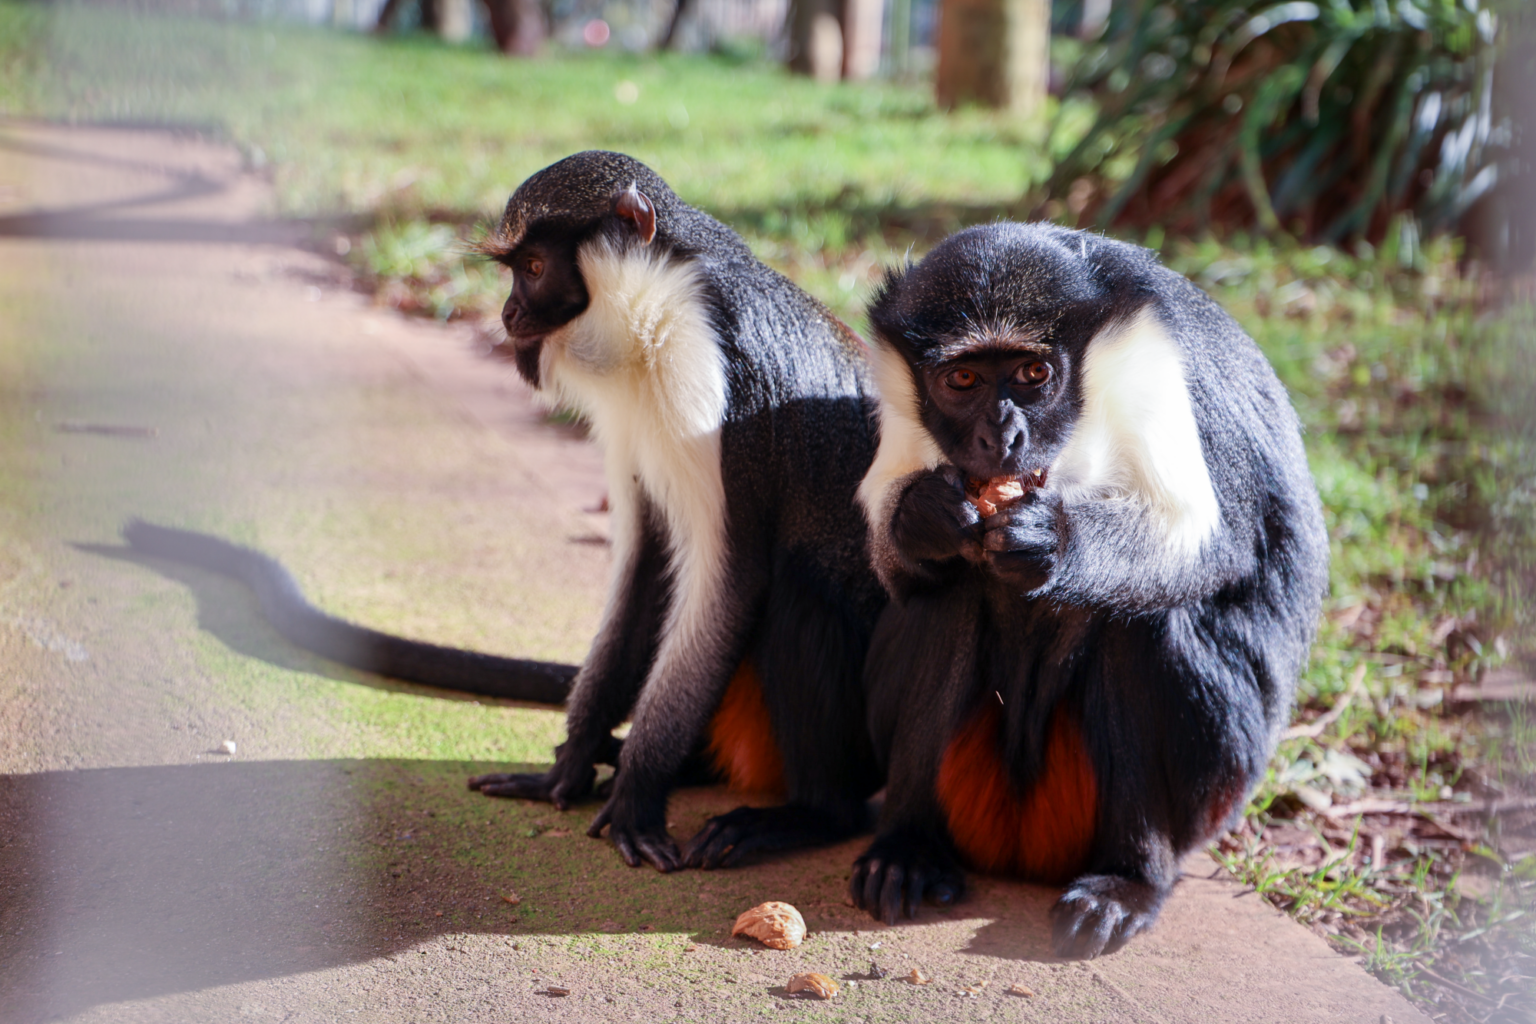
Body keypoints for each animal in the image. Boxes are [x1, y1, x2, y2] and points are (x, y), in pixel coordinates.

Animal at [846, 222, 1329, 958]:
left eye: (1033, 374)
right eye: (962, 379)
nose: (1001, 435)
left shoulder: (1151, 351)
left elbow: (1210, 544)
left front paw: (1053, 541)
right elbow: (905, 568)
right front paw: (925, 518)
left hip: (1215, 785)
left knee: (1141, 616)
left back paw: (1130, 879)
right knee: (950, 593)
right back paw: (909, 847)